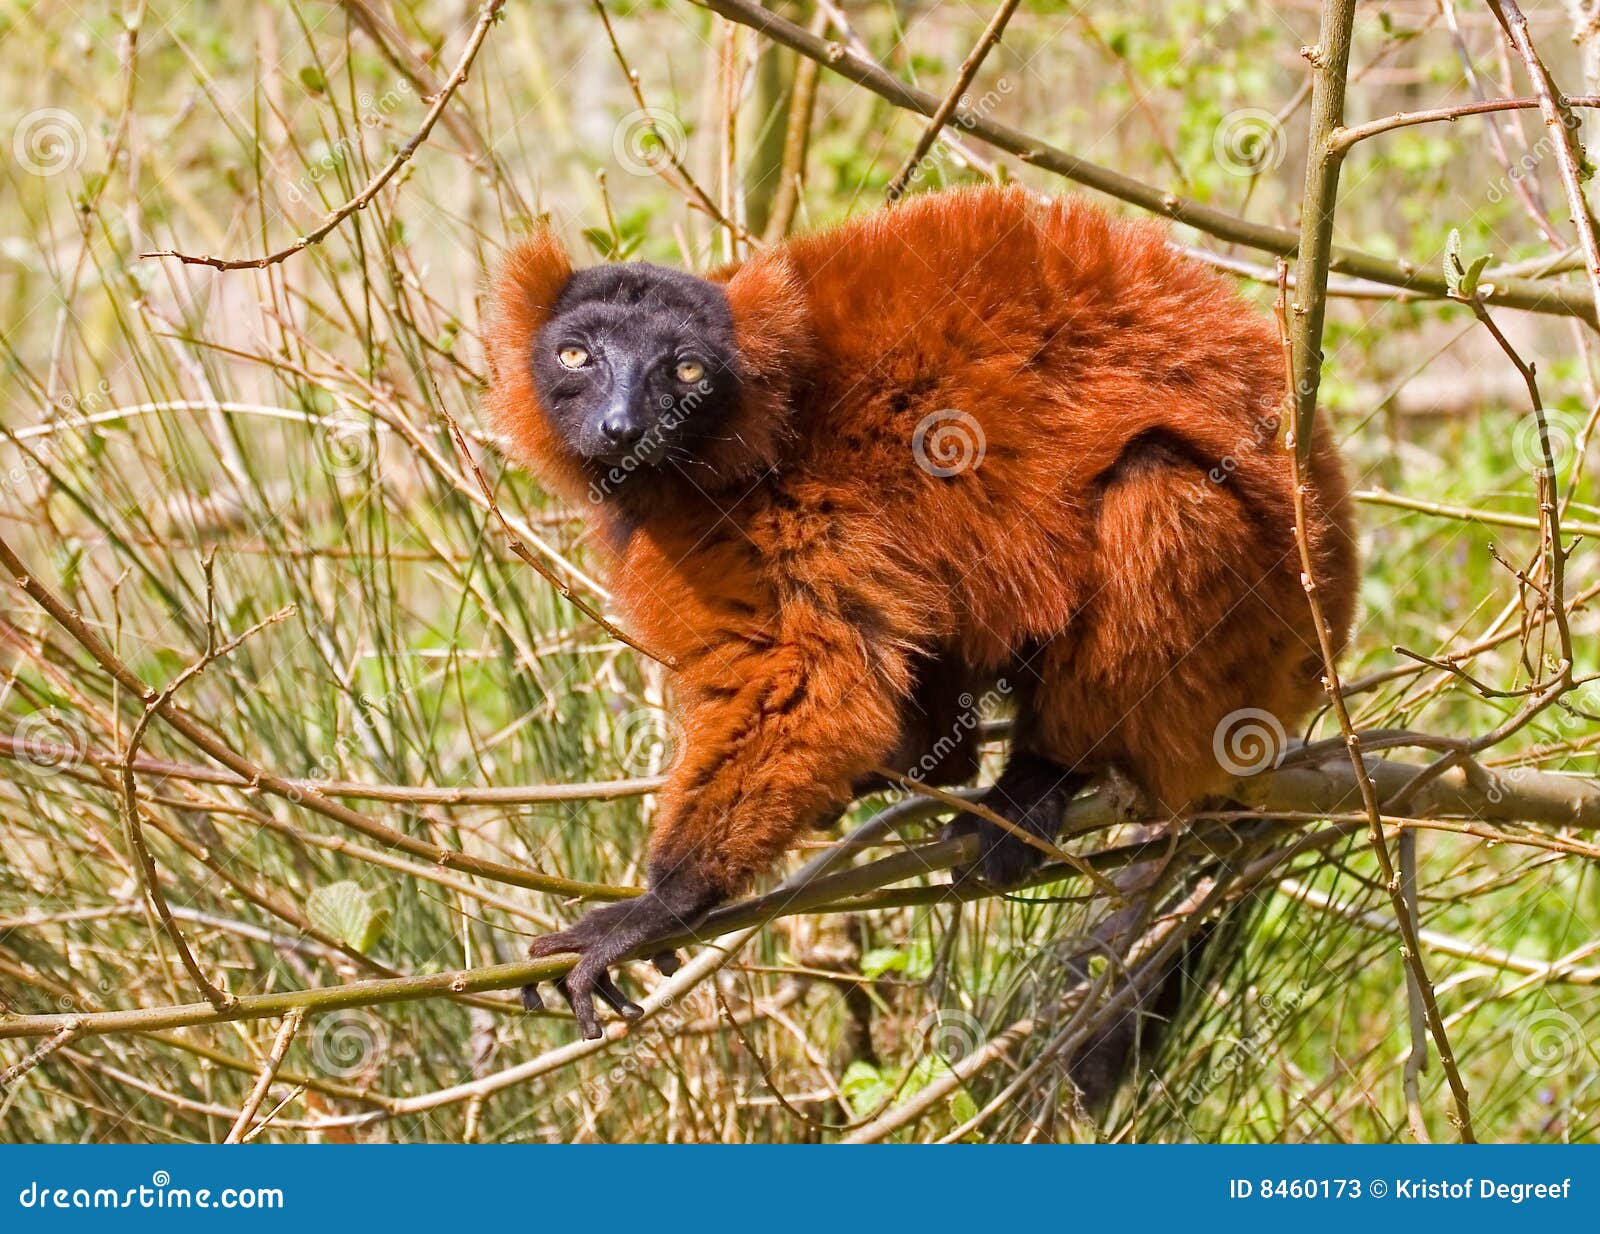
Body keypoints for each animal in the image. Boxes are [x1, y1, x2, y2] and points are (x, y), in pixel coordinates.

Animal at [484, 185, 1358, 1041]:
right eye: (576, 356)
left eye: (687, 370)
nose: (622, 427)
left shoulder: (782, 511)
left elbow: (814, 675)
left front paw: (656, 907)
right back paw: (934, 762)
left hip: (1246, 659)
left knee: (1154, 484)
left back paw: (1039, 780)